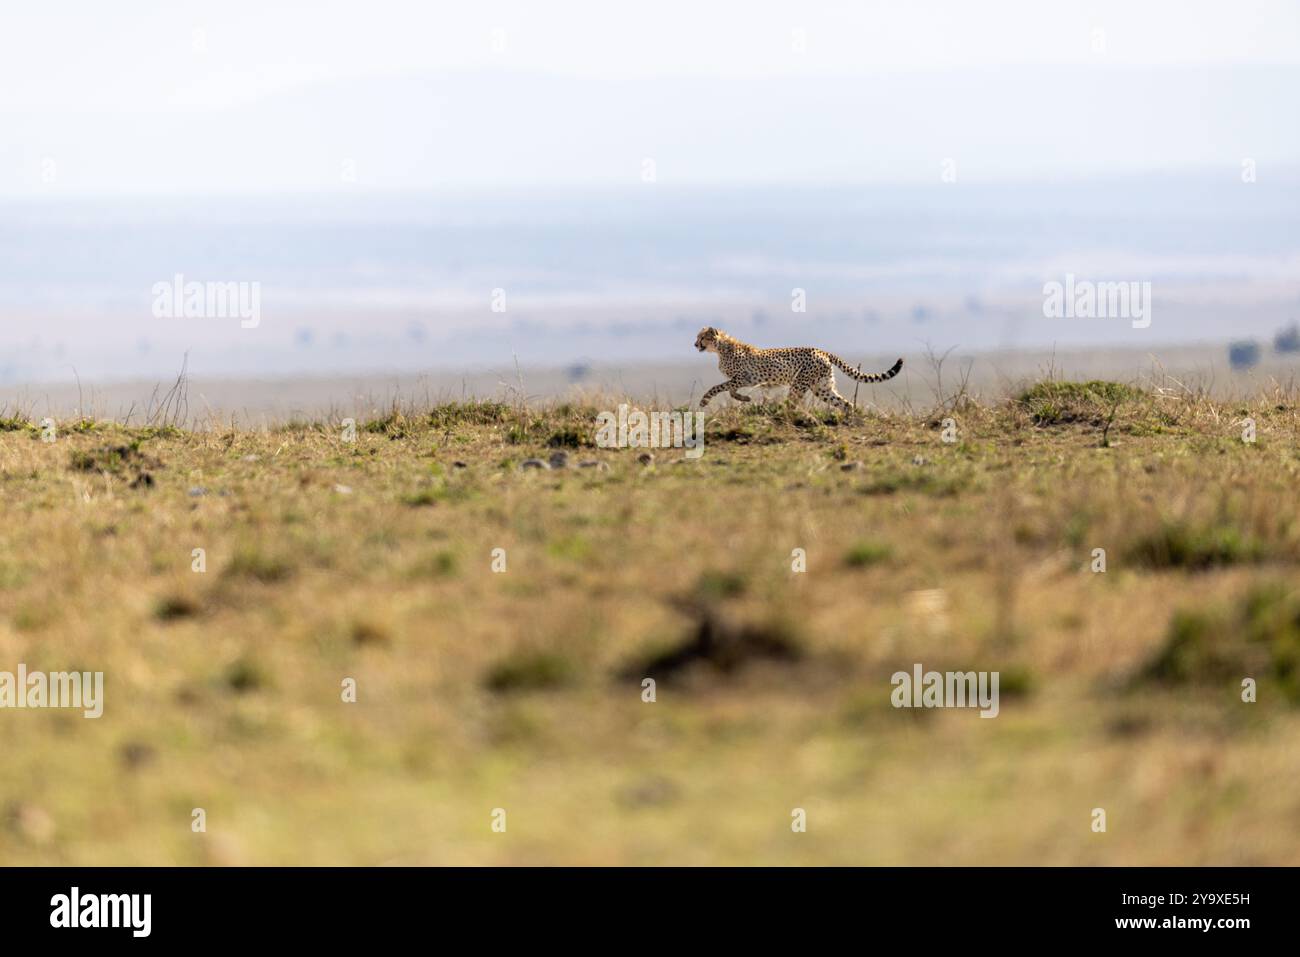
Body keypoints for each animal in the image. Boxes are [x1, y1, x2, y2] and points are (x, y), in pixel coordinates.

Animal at [694, 327, 902, 412]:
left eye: (702, 337)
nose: (695, 344)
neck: (721, 349)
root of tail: (821, 350)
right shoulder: (741, 380)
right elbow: (730, 390)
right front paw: (744, 399)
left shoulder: (745, 378)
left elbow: (719, 387)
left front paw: (704, 400)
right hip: (822, 388)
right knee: (845, 403)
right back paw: (849, 420)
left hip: (799, 384)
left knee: (791, 404)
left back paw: (780, 415)